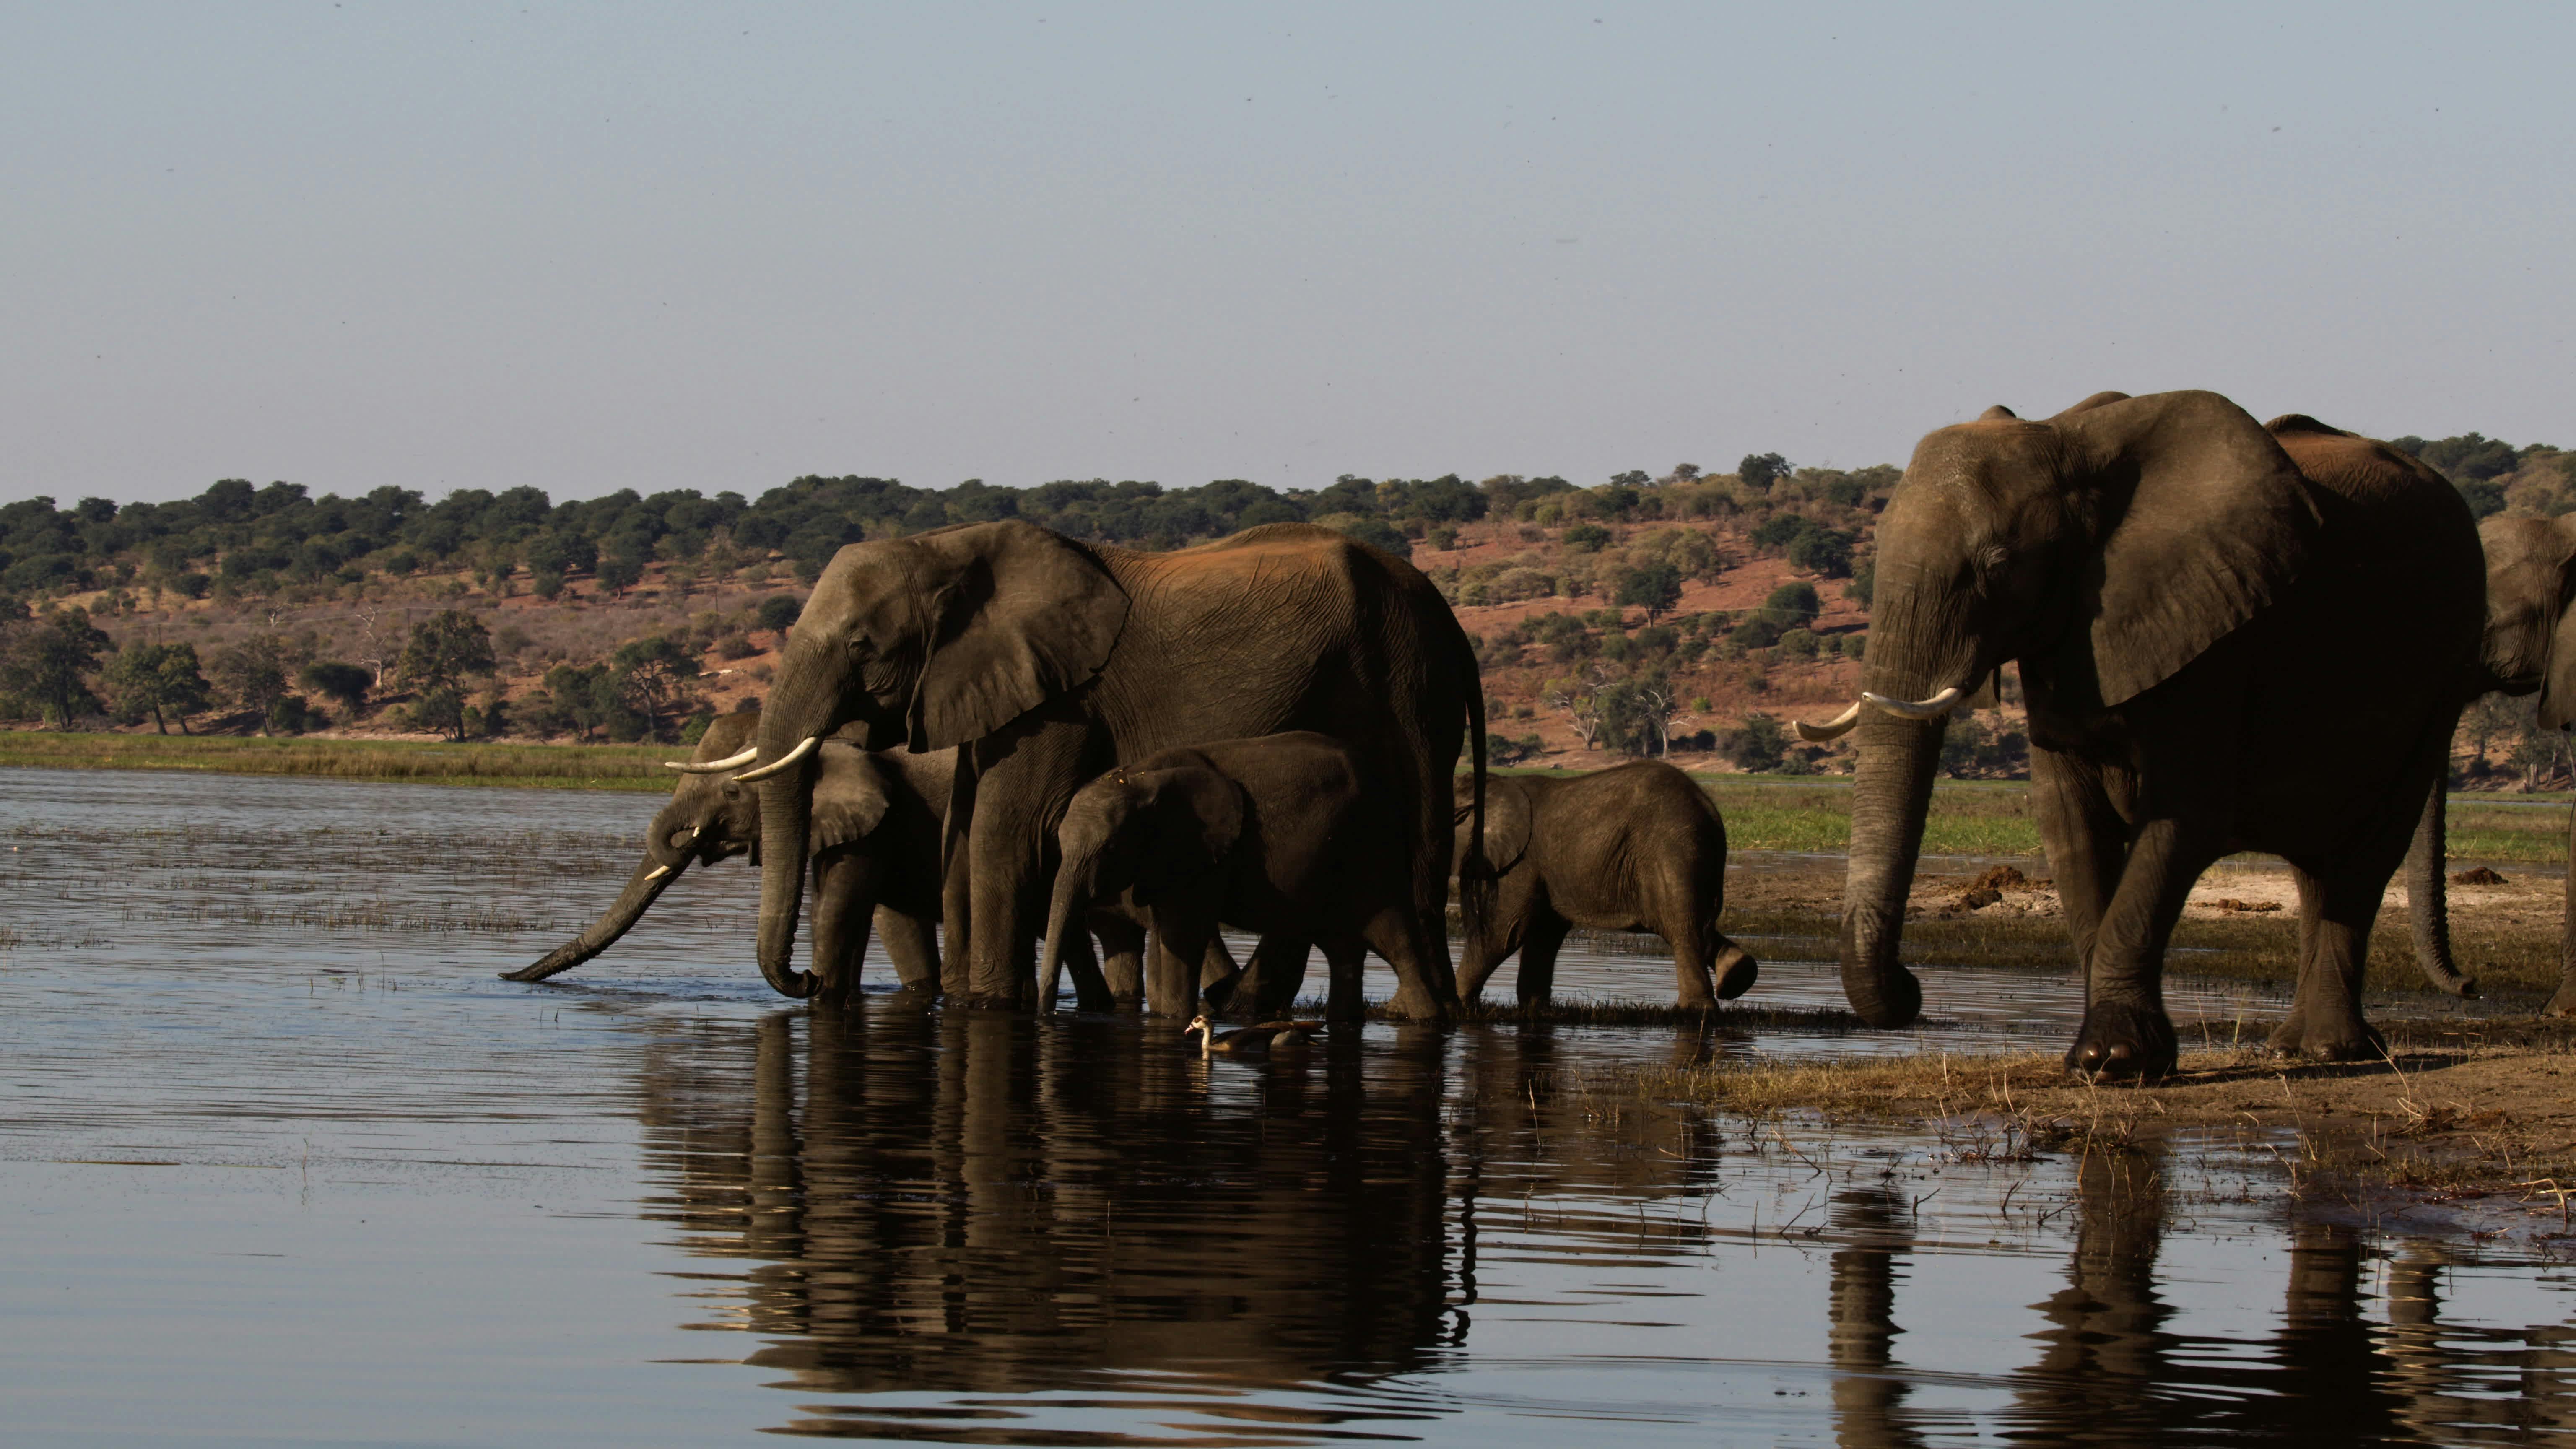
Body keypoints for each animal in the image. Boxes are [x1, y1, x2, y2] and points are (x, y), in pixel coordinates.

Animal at [1034, 732, 1450, 1023]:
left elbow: (1182, 936)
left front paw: (1175, 1018)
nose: (1047, 1014)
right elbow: (1167, 934)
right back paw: (1344, 1022)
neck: (1137, 778)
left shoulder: (1202, 852)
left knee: (1393, 935)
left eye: (1109, 850)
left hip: (1371, 848)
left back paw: (1425, 1019)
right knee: (1341, 947)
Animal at [1450, 762, 1758, 1008]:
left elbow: (1504, 931)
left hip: (1671, 851)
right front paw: (1534, 1008)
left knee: (1681, 925)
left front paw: (1460, 1004)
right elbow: (1544, 932)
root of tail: (1707, 808)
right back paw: (1738, 975)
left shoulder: (1521, 861)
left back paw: (1696, 1009)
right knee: (1695, 924)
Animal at [1796, 392, 2484, 1077]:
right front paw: (2103, 1059)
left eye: (1999, 566)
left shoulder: (2212, 632)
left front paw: (2114, 1061)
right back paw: (2296, 1048)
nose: (1911, 987)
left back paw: (2332, 1050)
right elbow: (2070, 823)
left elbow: (2186, 815)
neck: (2069, 443)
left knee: (2365, 856)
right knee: (2319, 872)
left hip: (2443, 676)